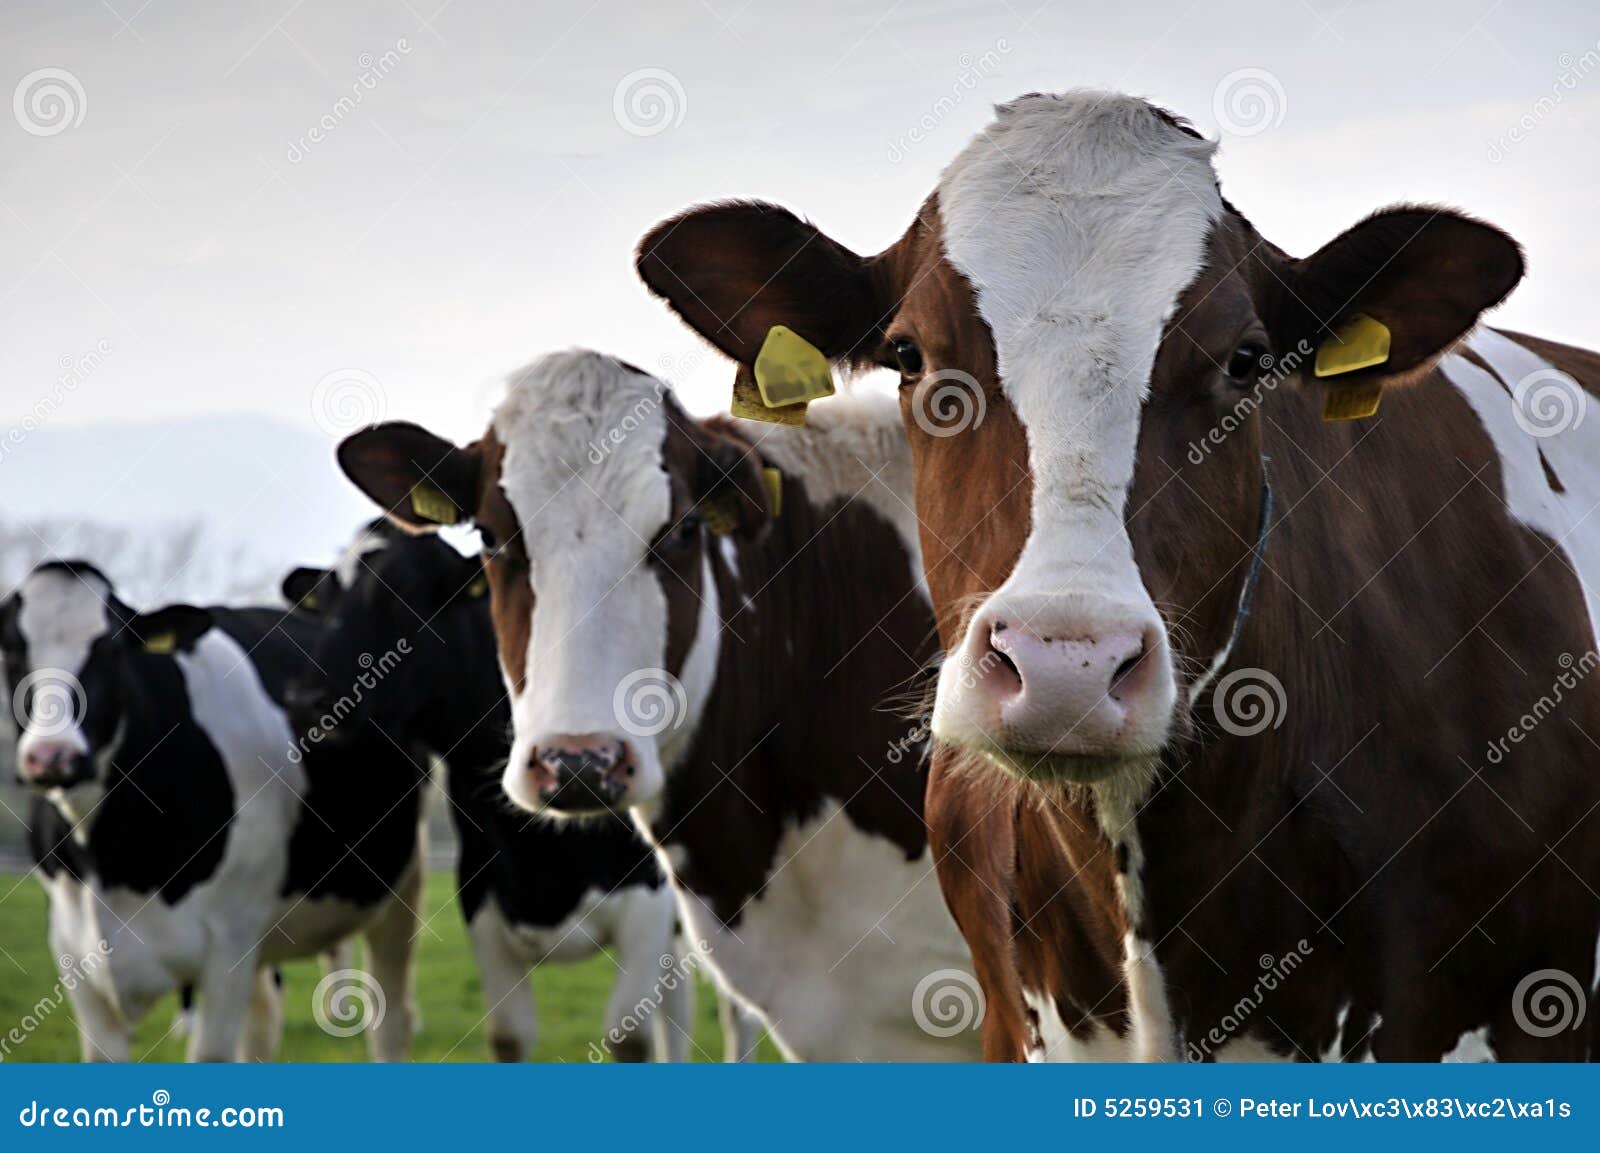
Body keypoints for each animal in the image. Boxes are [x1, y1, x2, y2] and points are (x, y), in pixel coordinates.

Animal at [3, 559, 426, 1061]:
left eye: (111, 648)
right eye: (11, 648)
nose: (52, 757)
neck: (113, 859)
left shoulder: (229, 946)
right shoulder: (74, 954)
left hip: (400, 888)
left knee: (390, 1020)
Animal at [282, 521, 755, 1061]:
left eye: (398, 593)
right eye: (325, 601)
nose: (306, 699)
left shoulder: (648, 903)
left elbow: (628, 1035)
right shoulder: (481, 902)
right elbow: (509, 1035)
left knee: (734, 1010)